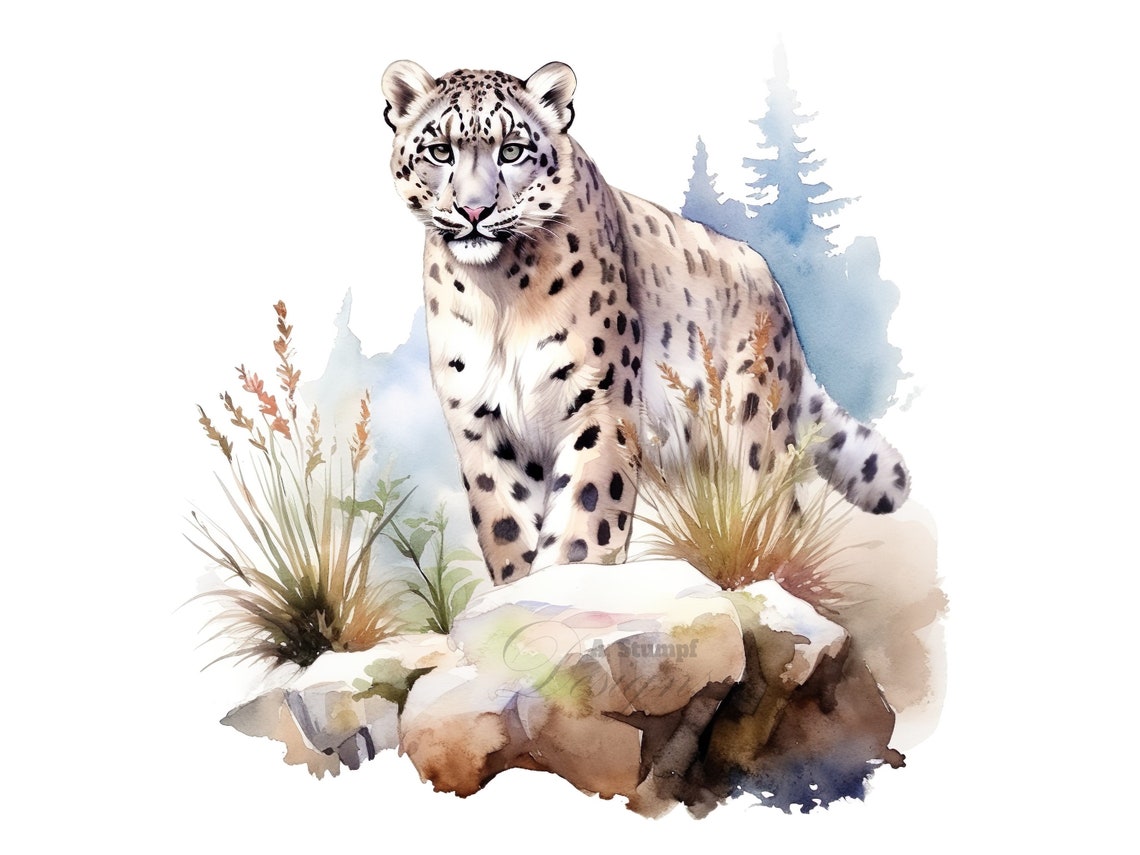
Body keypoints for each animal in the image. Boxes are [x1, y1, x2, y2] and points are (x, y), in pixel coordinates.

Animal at [381, 60, 910, 585]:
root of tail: (776, 294)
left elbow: (585, 513)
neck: (498, 294)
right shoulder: (481, 422)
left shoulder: (598, 401)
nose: (474, 209)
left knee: (775, 511)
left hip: (752, 431)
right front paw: (520, 584)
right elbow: (506, 524)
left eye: (512, 150)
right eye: (440, 150)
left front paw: (567, 579)